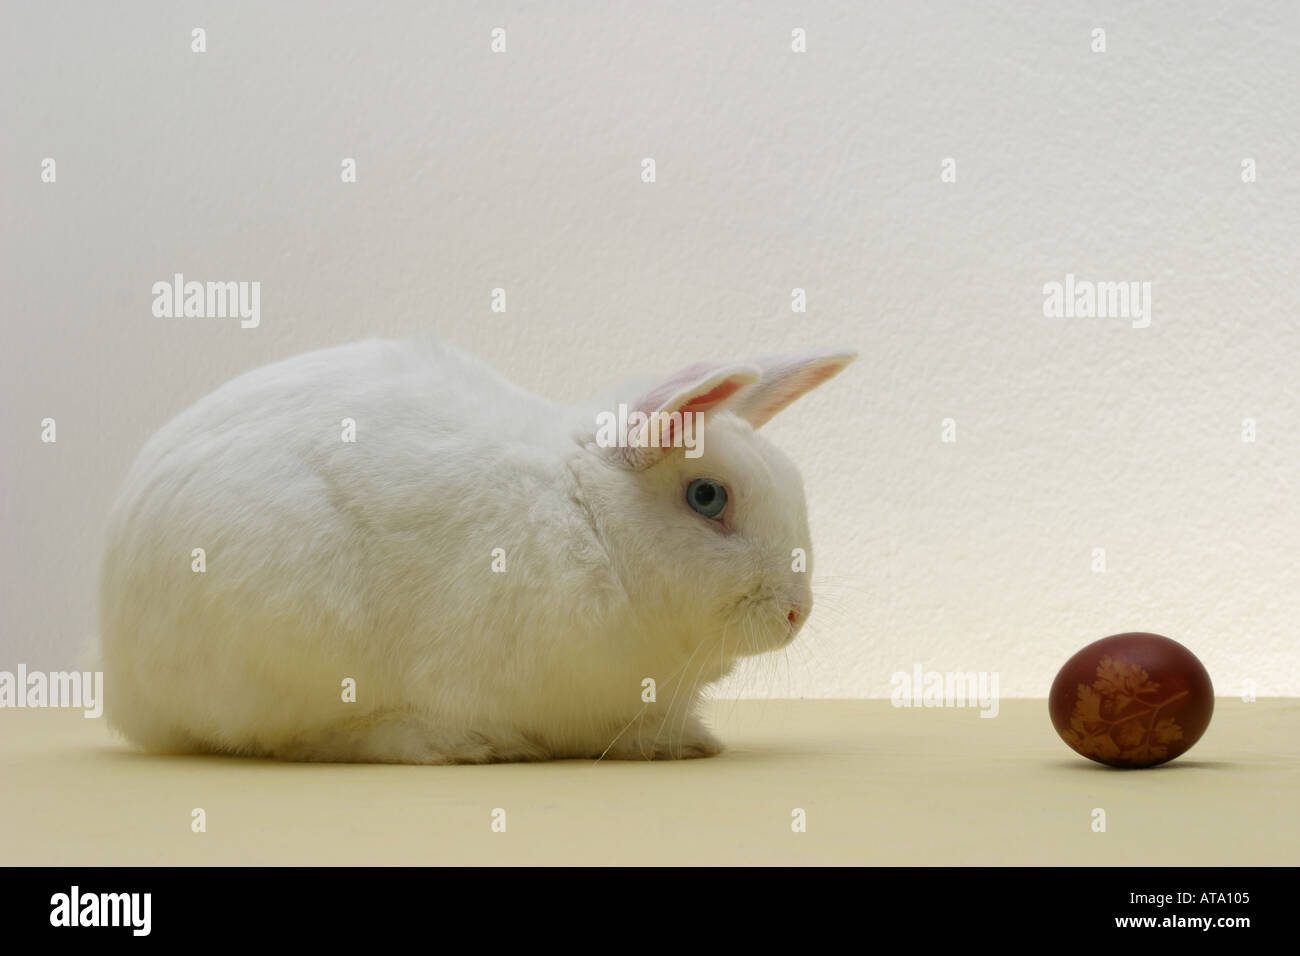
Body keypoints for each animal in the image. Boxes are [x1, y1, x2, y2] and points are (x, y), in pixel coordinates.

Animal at [98, 337, 855, 763]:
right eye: (706, 497)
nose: (798, 611)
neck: (590, 520)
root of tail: (122, 678)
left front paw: (694, 740)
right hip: (293, 646)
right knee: (295, 740)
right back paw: (458, 745)